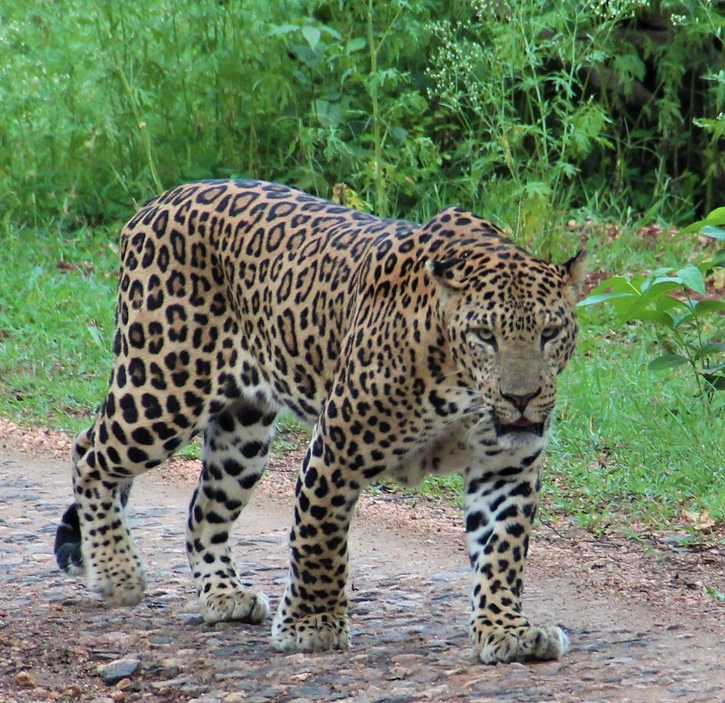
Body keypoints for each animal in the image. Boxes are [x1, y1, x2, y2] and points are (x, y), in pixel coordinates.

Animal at [54, 179, 586, 664]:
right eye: (484, 335)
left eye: (550, 332)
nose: (522, 398)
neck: (461, 385)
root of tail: (158, 200)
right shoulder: (336, 450)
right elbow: (319, 539)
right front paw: (311, 625)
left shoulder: (507, 469)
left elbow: (502, 550)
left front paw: (507, 629)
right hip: (162, 390)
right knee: (89, 452)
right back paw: (117, 572)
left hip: (243, 432)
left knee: (203, 509)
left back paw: (223, 594)